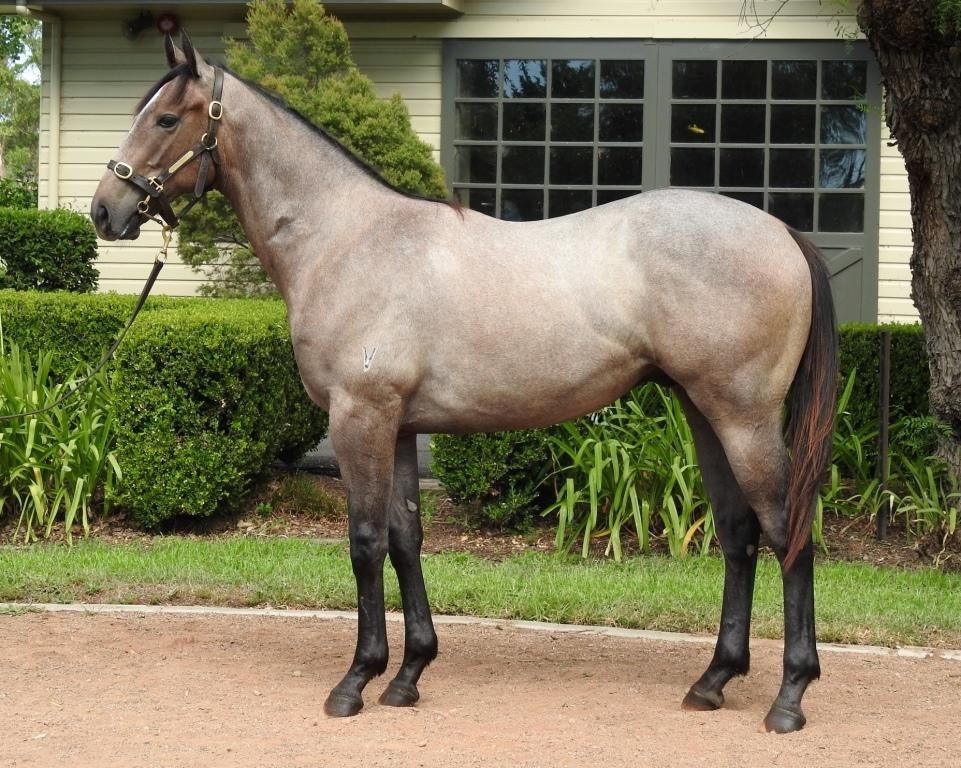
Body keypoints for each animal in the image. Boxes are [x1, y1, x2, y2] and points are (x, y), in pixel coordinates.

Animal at [91, 32, 837, 734]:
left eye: (165, 118)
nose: (104, 210)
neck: (348, 240)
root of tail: (779, 230)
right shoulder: (396, 426)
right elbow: (404, 539)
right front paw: (408, 674)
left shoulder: (358, 418)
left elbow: (364, 543)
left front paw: (355, 681)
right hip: (703, 412)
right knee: (737, 533)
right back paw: (713, 680)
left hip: (743, 417)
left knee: (785, 530)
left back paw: (790, 697)